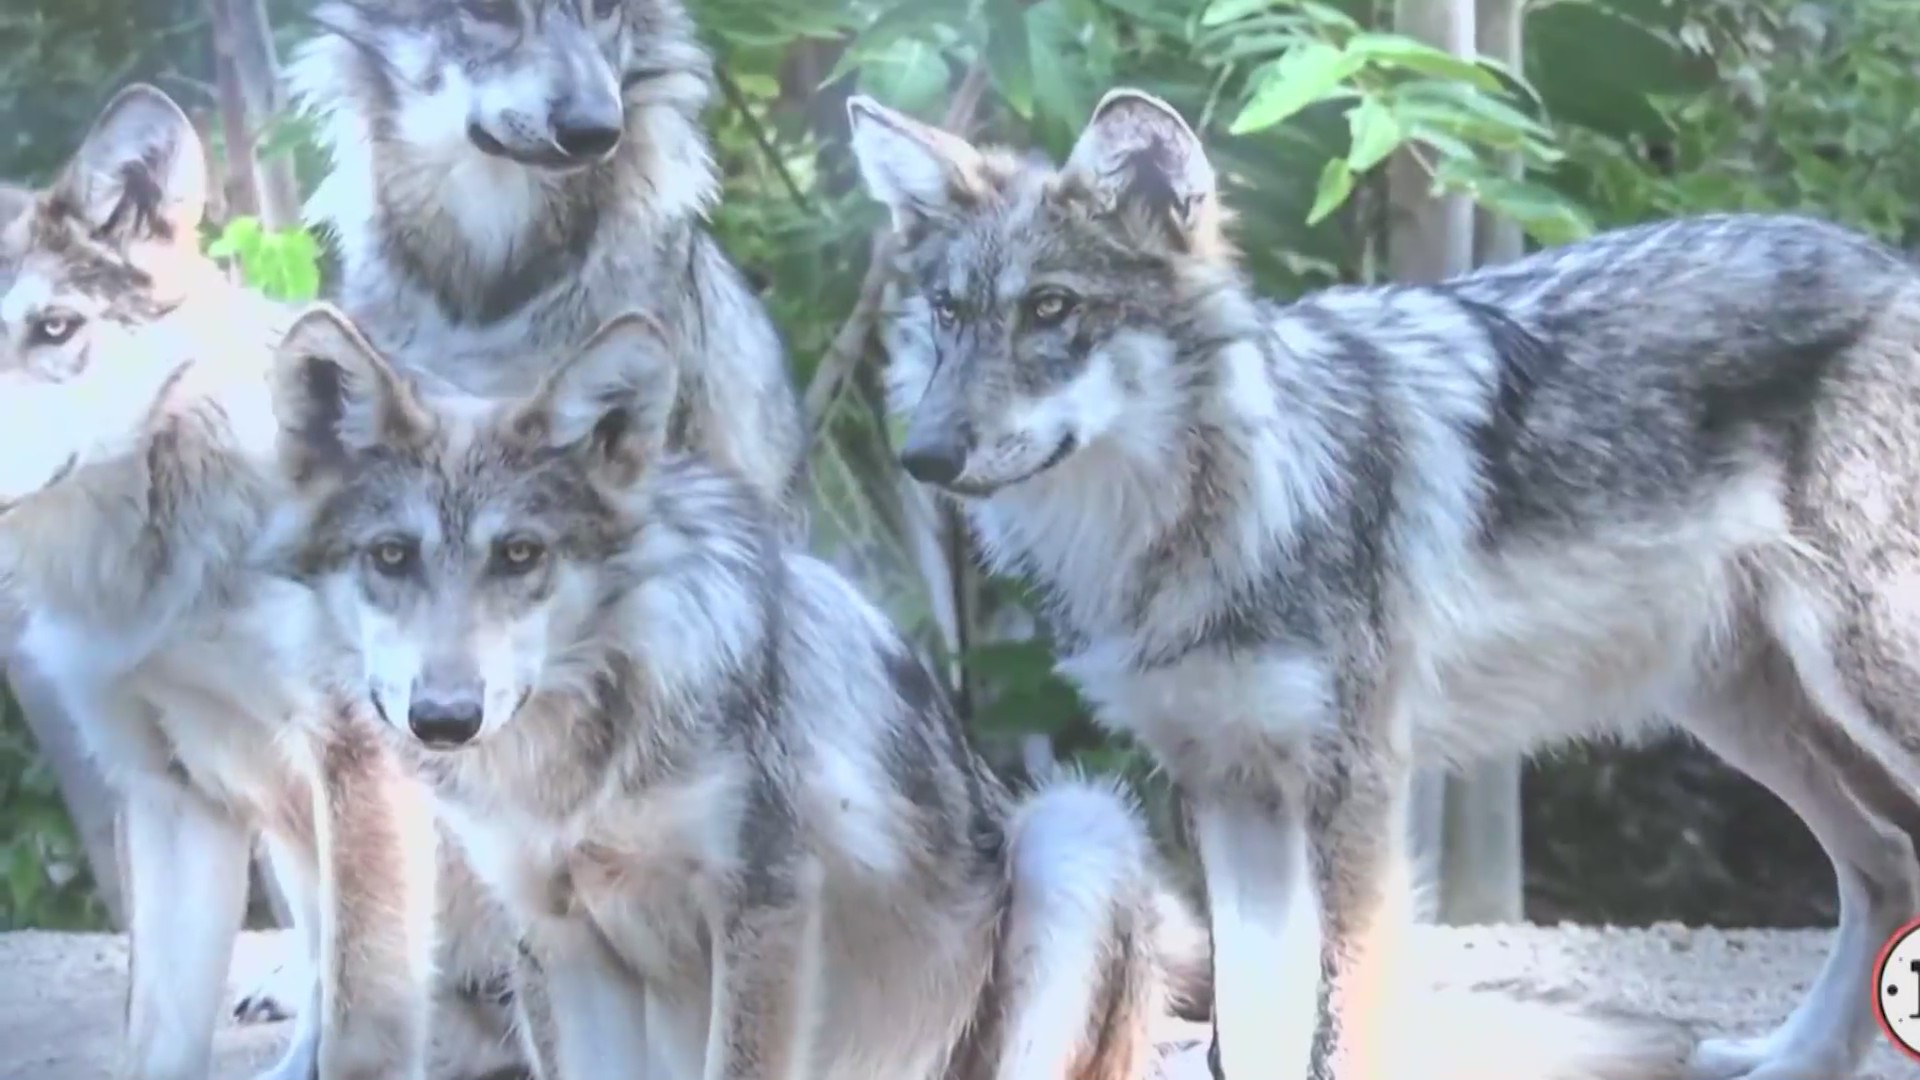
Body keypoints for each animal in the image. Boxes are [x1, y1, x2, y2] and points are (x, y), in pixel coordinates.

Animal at [266, 301, 1698, 1080]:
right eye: (392, 560)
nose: (441, 718)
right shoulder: (557, 940)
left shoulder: (764, 911)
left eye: (521, 558)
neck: (579, 756)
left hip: (1072, 835)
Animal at [846, 86, 1920, 1080]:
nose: (922, 456)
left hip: (1847, 692)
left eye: (1052, 307)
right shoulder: (1228, 791)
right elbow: (1252, 1027)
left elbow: (1343, 1024)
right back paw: (1794, 1059)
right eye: (949, 312)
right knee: (1887, 871)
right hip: (1747, 714)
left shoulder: (1355, 786)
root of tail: (1894, 264)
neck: (1206, 527)